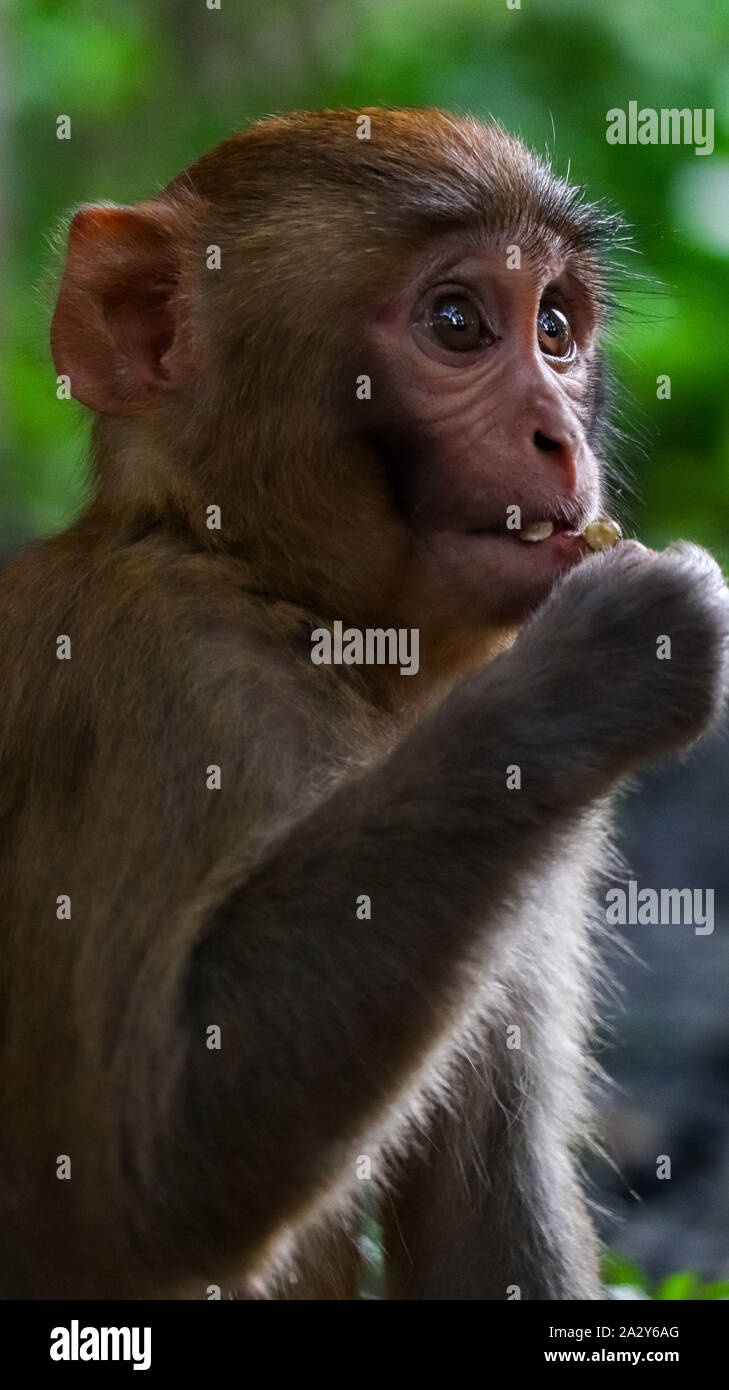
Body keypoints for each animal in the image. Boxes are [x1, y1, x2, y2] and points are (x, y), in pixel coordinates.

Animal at [0, 108, 727, 1301]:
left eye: (556, 328)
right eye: (456, 323)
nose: (561, 437)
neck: (285, 602)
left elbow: (492, 1215)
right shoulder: (150, 679)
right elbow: (129, 1184)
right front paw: (599, 662)